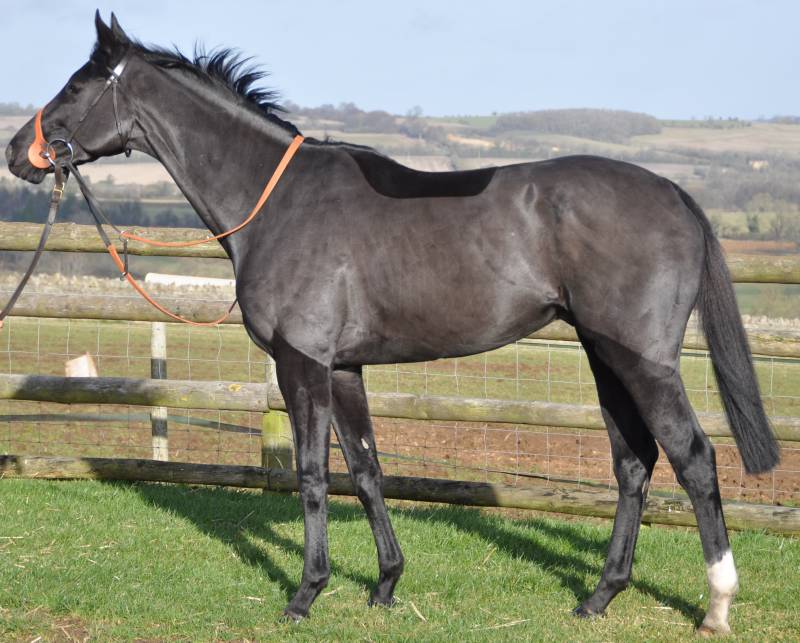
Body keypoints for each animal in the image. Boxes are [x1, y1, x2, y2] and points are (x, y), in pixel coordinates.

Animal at [5, 12, 779, 634]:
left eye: (76, 86)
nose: (19, 152)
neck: (278, 202)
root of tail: (674, 192)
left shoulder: (302, 364)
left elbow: (313, 473)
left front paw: (304, 595)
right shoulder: (345, 368)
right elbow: (368, 469)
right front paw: (383, 586)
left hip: (641, 358)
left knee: (693, 458)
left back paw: (716, 605)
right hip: (602, 353)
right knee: (633, 462)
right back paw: (598, 597)